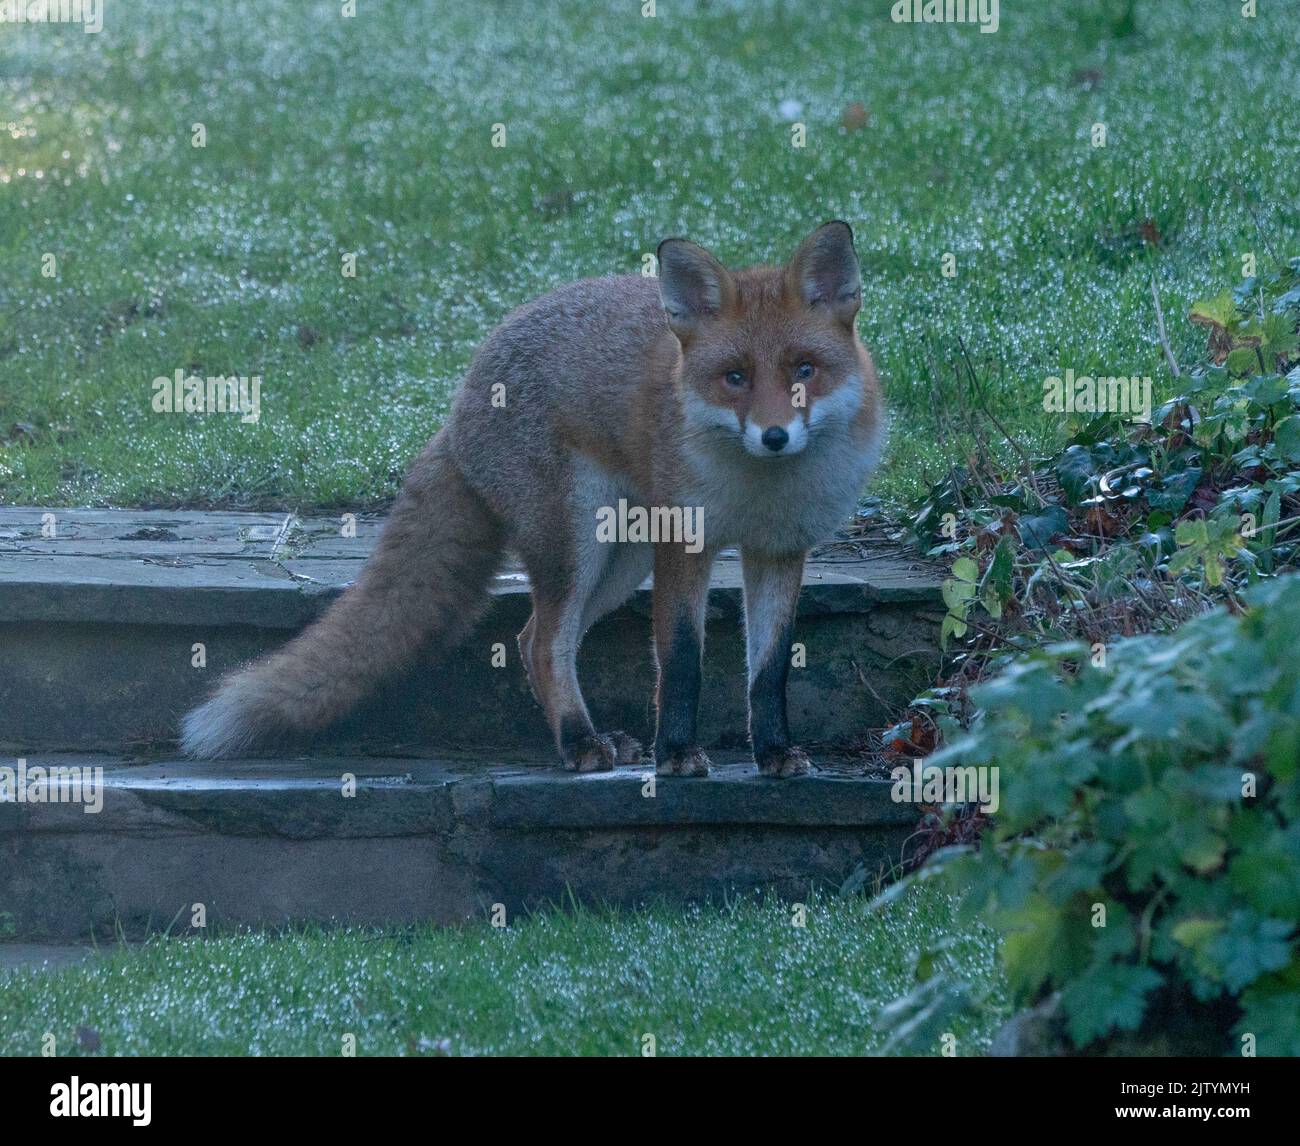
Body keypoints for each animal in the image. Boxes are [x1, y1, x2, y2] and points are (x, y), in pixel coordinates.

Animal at [181, 220, 886, 777]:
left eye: (804, 370)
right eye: (734, 377)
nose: (774, 436)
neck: (756, 492)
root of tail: (461, 399)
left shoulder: (780, 550)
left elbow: (769, 670)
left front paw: (774, 753)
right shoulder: (686, 541)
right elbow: (682, 661)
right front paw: (679, 754)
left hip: (619, 560)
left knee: (530, 640)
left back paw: (593, 738)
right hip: (578, 542)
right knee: (545, 643)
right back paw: (580, 744)